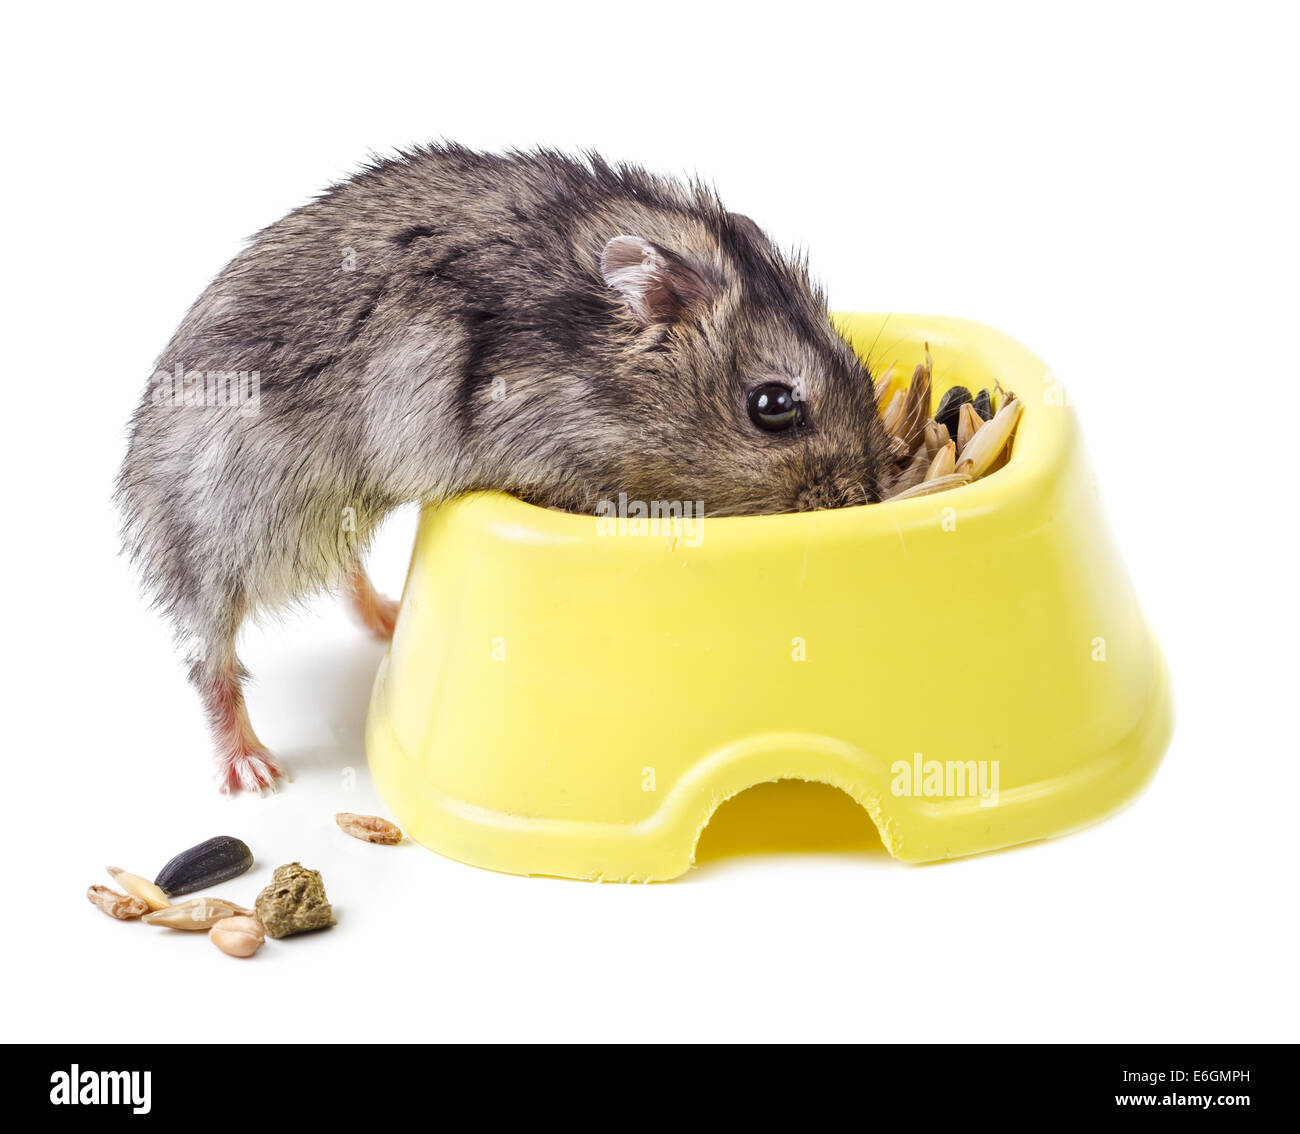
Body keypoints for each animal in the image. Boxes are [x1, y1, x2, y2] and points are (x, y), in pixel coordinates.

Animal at [117, 144, 890, 793]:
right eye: (773, 405)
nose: (869, 492)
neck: (606, 358)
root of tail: (138, 502)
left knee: (344, 570)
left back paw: (387, 618)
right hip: (223, 533)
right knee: (209, 659)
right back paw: (250, 769)